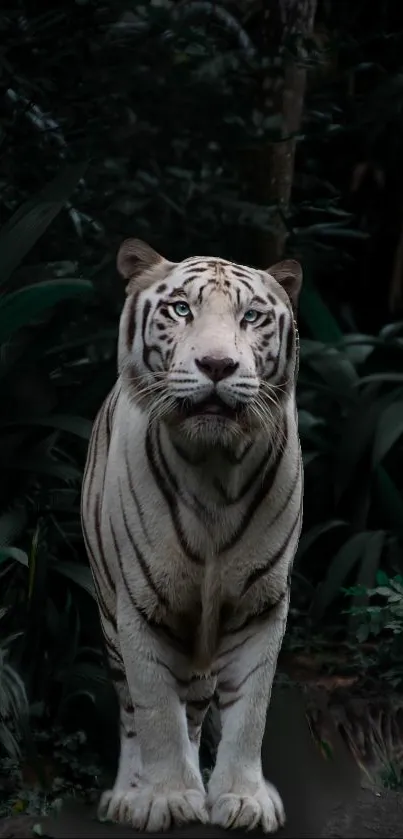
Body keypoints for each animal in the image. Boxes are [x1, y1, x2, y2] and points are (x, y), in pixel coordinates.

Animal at [81, 238, 303, 834]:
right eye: (181, 309)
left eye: (251, 317)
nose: (218, 365)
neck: (214, 470)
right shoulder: (140, 605)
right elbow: (156, 710)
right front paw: (168, 799)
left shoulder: (260, 603)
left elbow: (249, 710)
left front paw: (243, 799)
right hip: (109, 613)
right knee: (132, 710)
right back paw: (128, 796)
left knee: (200, 706)